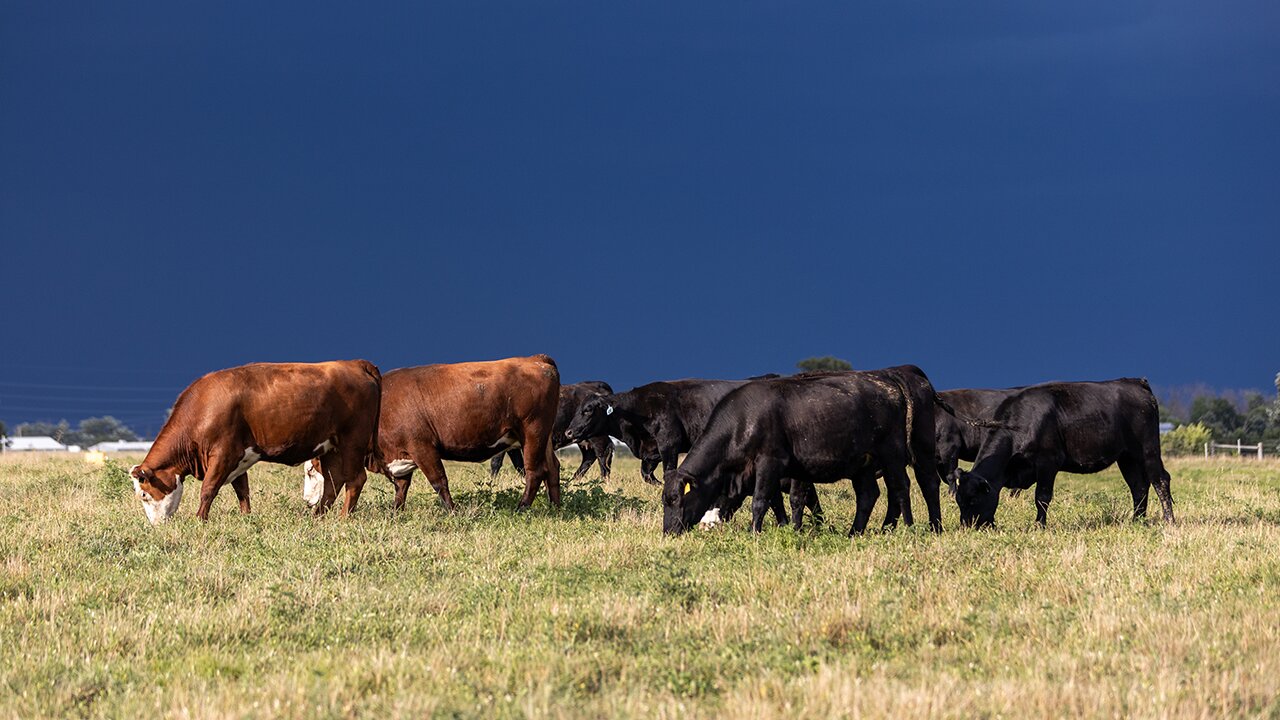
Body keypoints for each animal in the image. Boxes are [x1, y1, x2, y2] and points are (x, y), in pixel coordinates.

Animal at [130, 360, 382, 525]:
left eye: (144, 495)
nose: (156, 526)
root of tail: (355, 363)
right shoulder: (238, 458)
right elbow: (243, 491)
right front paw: (246, 518)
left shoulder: (223, 454)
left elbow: (208, 489)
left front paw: (200, 520)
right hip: (330, 446)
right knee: (333, 482)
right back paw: (316, 518)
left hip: (352, 442)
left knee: (355, 480)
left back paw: (343, 518)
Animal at [371, 355, 561, 511]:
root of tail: (535, 359)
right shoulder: (402, 453)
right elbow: (401, 487)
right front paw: (395, 513)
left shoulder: (422, 447)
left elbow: (439, 481)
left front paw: (452, 511)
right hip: (543, 437)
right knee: (552, 468)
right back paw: (555, 508)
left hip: (533, 432)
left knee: (535, 471)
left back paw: (521, 508)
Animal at [662, 367, 948, 536]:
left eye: (675, 499)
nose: (668, 531)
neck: (744, 420)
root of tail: (889, 381)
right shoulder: (796, 469)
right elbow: (794, 500)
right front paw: (794, 529)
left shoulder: (770, 462)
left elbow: (762, 501)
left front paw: (756, 533)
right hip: (863, 463)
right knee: (869, 494)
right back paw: (855, 532)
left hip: (898, 454)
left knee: (909, 486)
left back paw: (916, 528)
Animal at [953, 378, 1175, 528]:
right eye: (959, 501)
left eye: (973, 500)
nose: (967, 527)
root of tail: (1135, 382)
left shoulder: (1048, 462)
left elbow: (1042, 496)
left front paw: (1039, 526)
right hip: (1127, 456)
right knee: (1138, 486)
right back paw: (1137, 520)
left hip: (1148, 449)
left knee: (1160, 480)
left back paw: (1169, 520)